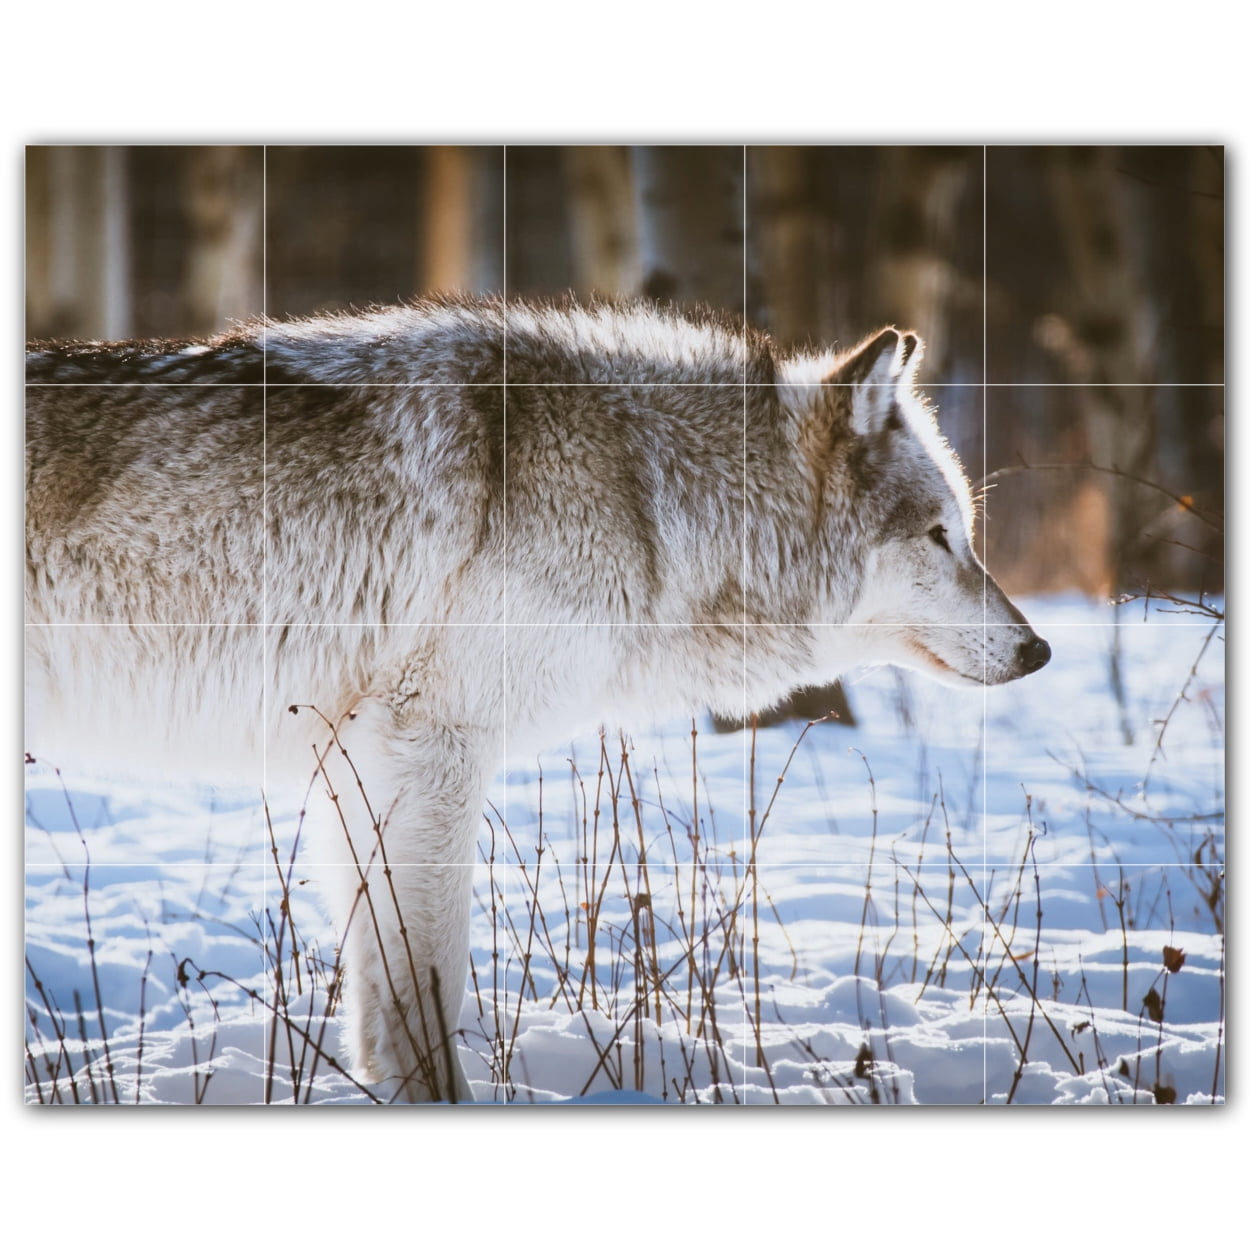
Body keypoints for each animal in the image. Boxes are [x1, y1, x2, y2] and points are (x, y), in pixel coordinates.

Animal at [25, 296, 1050, 1102]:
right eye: (940, 537)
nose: (1037, 648)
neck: (647, 497)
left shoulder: (358, 764)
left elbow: (380, 990)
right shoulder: (432, 748)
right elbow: (426, 988)